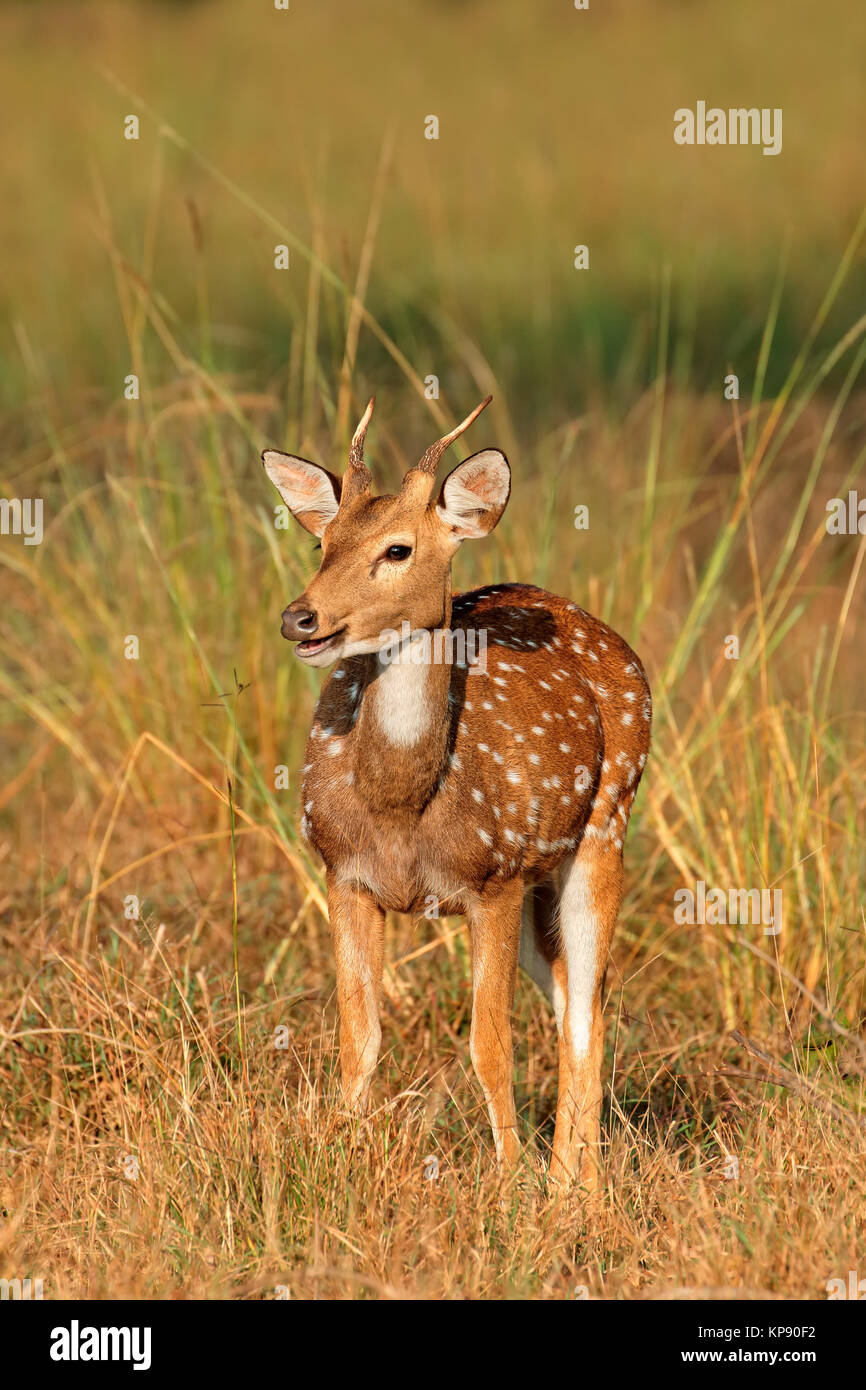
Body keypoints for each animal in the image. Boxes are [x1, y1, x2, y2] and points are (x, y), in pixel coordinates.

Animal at [262, 395, 651, 1189]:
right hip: (542, 883)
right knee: (574, 999)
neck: (403, 806)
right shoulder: (342, 873)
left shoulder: (491, 880)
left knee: (588, 1006)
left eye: (398, 550)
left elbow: (488, 1046)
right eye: (323, 544)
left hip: (605, 827)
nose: (300, 617)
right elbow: (359, 1038)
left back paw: (572, 1186)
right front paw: (338, 1163)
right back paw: (572, 1178)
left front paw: (507, 1184)